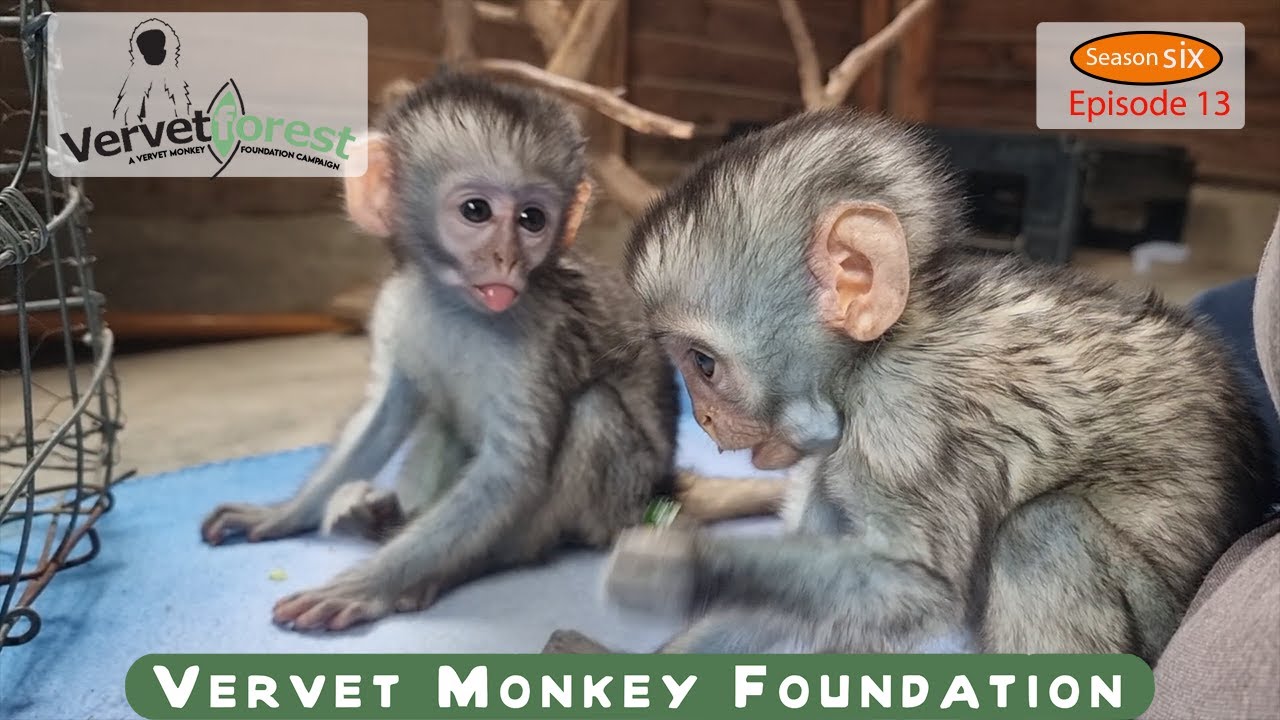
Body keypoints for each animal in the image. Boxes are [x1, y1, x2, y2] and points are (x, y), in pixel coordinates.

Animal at [200, 72, 683, 632]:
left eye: (532, 219)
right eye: (476, 211)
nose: (506, 258)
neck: (453, 304)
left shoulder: (538, 334)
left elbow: (510, 472)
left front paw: (368, 585)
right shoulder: (396, 304)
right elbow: (385, 417)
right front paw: (282, 514)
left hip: (617, 504)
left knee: (592, 411)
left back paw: (469, 563)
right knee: (442, 422)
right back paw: (386, 516)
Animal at [598, 109, 1275, 662]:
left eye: (703, 364)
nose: (706, 419)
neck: (871, 358)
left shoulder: (905, 419)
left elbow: (916, 586)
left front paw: (683, 565)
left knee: (1043, 531)